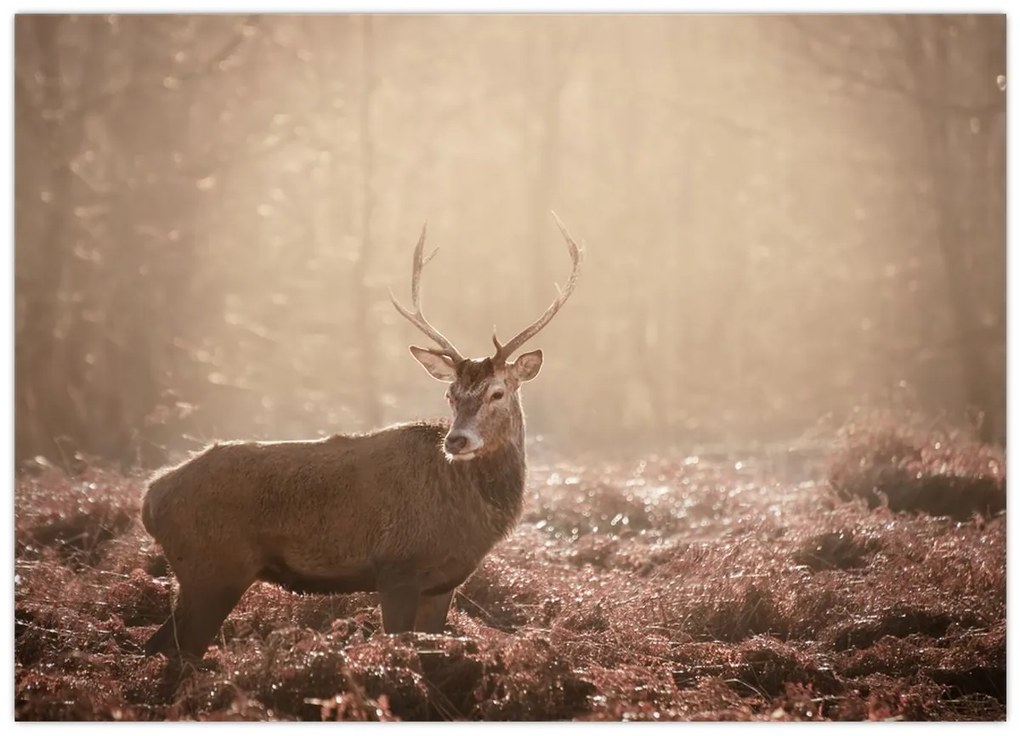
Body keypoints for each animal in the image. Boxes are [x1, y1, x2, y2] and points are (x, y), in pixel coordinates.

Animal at [138, 215, 583, 656]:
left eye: (497, 392)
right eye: (450, 394)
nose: (457, 441)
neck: (468, 520)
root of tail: (150, 498)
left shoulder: (443, 584)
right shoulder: (396, 568)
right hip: (213, 569)